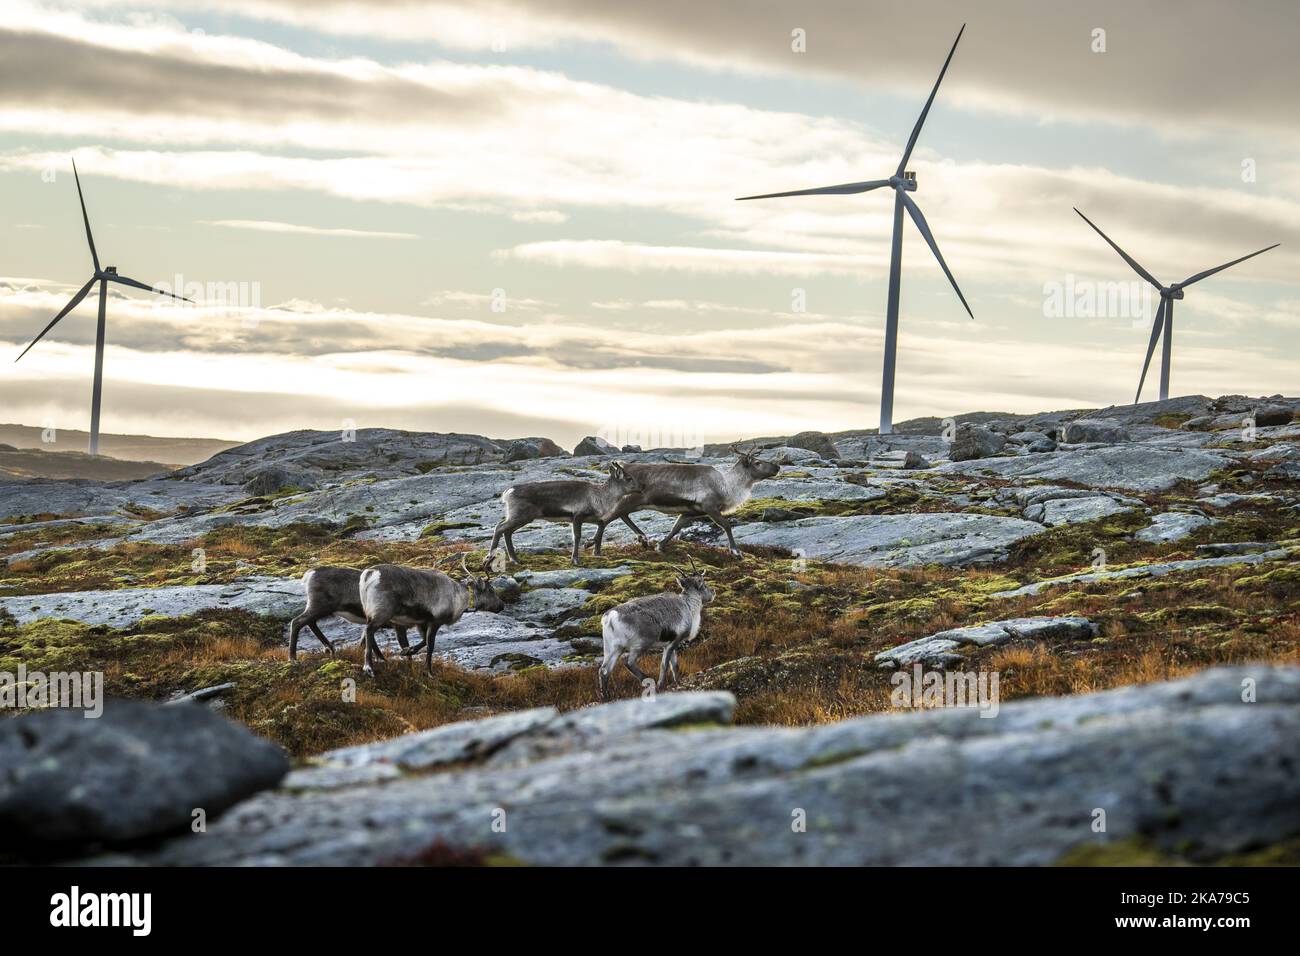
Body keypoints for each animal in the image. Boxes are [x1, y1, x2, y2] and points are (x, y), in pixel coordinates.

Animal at [357, 553, 504, 676]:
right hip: (382, 612)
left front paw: (408, 650)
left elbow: (423, 642)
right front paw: (429, 671)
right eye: (490, 590)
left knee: (367, 632)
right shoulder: (436, 621)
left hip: (372, 613)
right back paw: (368, 667)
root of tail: (369, 574)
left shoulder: (422, 622)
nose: (502, 605)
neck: (458, 598)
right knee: (369, 630)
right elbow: (430, 646)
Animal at [489, 461, 646, 566]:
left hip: (522, 517)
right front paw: (576, 559)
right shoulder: (577, 515)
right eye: (629, 478)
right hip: (521, 515)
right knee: (499, 527)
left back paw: (514, 559)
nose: (643, 487)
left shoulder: (593, 518)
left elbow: (600, 529)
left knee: (506, 531)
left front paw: (595, 551)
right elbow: (577, 536)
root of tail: (507, 493)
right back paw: (490, 557)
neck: (601, 498)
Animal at [599, 557, 716, 700]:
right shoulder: (674, 641)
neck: (689, 606)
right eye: (703, 583)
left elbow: (674, 666)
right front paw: (661, 684)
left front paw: (677, 682)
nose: (713, 592)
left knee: (604, 670)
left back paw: (606, 697)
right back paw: (649, 681)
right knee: (628, 662)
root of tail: (609, 617)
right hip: (640, 643)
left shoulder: (669, 644)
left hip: (612, 647)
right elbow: (664, 665)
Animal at [604, 446, 780, 557]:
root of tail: (621, 466)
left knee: (623, 515)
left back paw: (643, 539)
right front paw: (736, 552)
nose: (777, 467)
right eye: (757, 462)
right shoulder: (710, 507)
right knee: (613, 516)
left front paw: (660, 546)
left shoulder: (690, 512)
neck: (727, 486)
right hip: (632, 500)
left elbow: (675, 529)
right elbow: (727, 525)